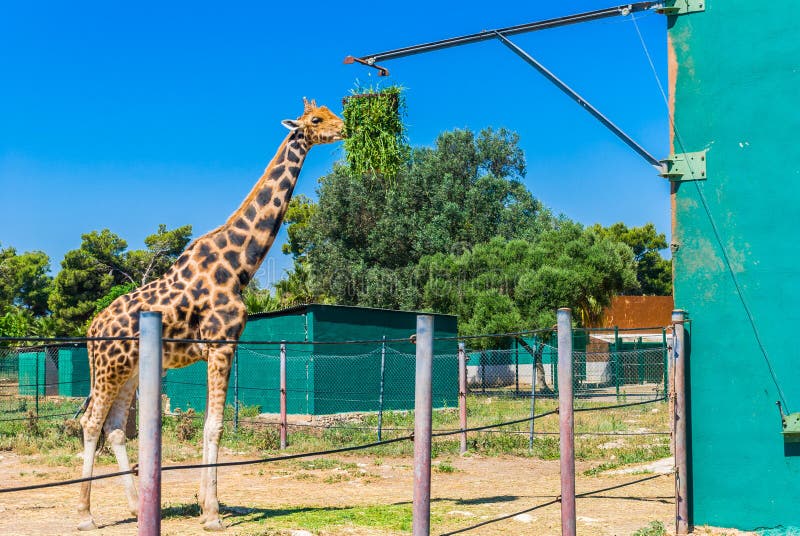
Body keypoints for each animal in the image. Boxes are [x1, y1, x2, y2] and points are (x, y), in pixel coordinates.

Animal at [77, 98, 344, 531]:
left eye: (330, 111)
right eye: (317, 119)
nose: (345, 128)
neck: (239, 265)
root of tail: (91, 331)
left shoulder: (218, 348)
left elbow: (208, 424)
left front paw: (206, 503)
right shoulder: (221, 344)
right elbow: (215, 426)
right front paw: (212, 514)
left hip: (129, 369)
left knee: (115, 427)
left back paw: (136, 508)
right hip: (107, 368)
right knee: (90, 422)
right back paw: (85, 515)